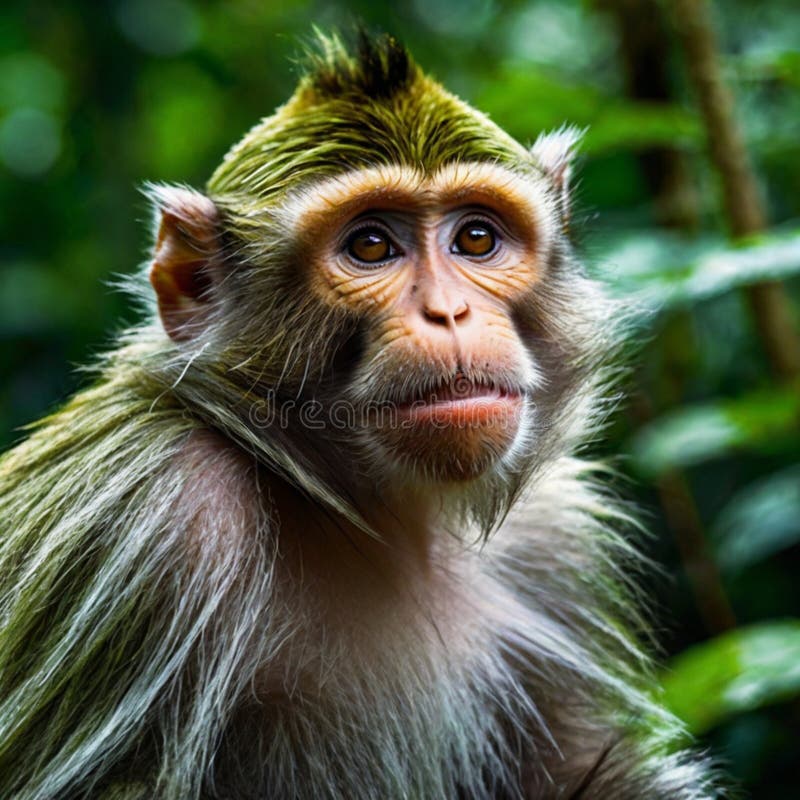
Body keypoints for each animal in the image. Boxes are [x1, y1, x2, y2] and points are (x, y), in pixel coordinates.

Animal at [0, 32, 720, 800]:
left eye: (476, 239)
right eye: (370, 246)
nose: (449, 312)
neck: (377, 522)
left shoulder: (553, 533)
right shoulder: (150, 529)